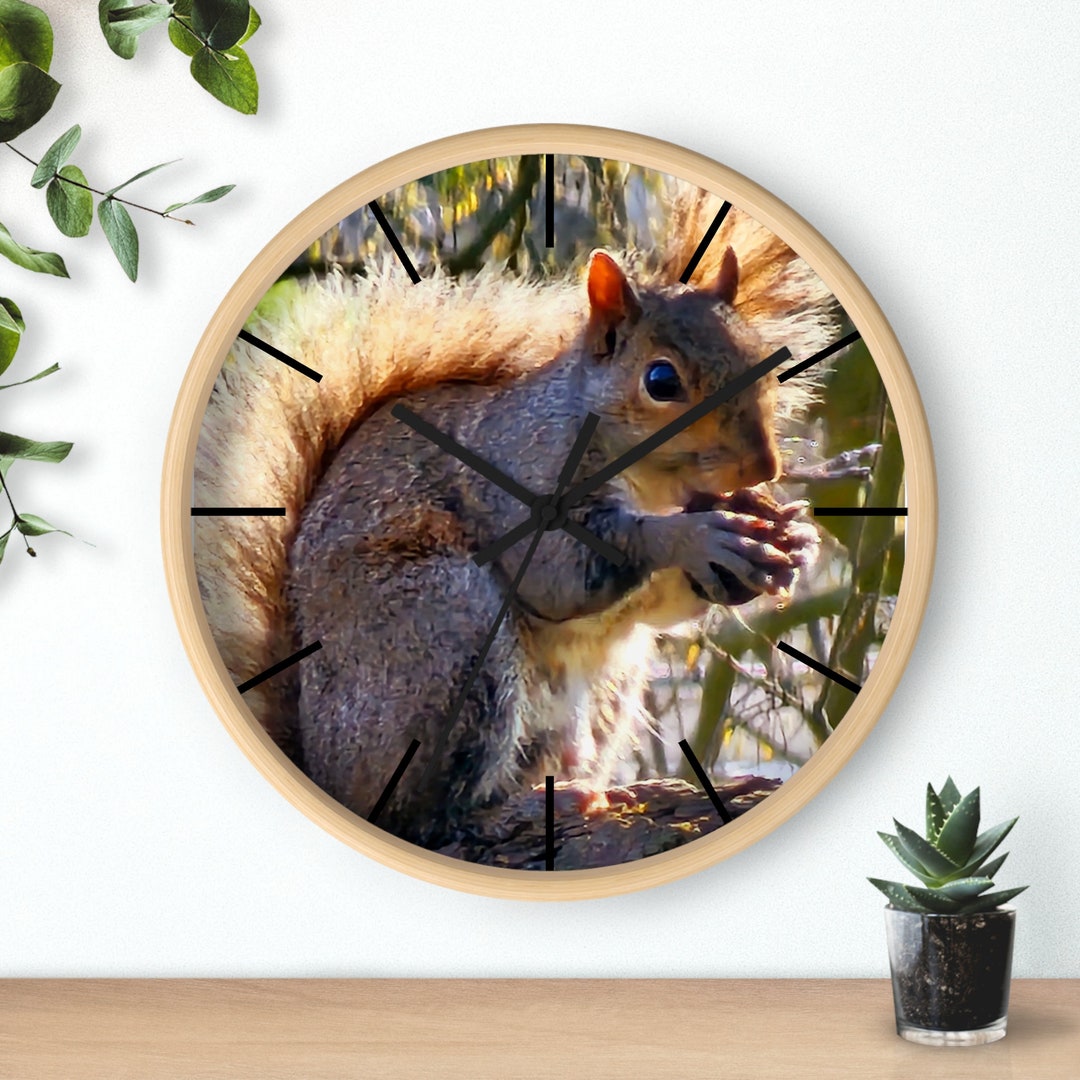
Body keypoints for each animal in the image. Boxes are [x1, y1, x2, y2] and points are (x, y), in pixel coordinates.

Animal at [193, 193, 839, 851]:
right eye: (661, 381)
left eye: (762, 359)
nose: (765, 466)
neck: (655, 485)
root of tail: (322, 766)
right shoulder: (520, 475)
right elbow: (561, 571)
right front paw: (695, 536)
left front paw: (789, 536)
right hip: (448, 632)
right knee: (421, 819)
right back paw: (510, 813)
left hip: (602, 689)